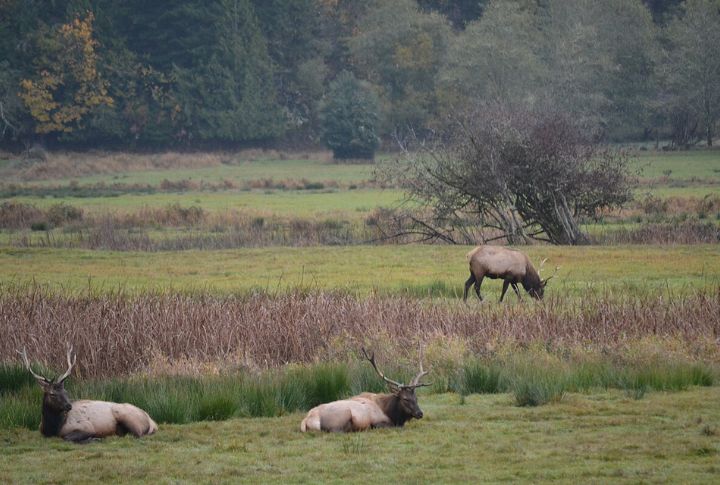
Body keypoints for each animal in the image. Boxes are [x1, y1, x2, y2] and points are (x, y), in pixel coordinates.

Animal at [19, 347, 158, 443]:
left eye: (66, 391)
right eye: (52, 394)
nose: (69, 406)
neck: (52, 428)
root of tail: (152, 422)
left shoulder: (87, 427)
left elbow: (67, 438)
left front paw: (94, 439)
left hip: (127, 417)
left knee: (138, 434)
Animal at [300, 348, 430, 432]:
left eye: (416, 398)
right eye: (405, 399)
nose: (420, 413)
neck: (390, 412)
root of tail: (306, 420)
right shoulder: (378, 421)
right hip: (342, 415)